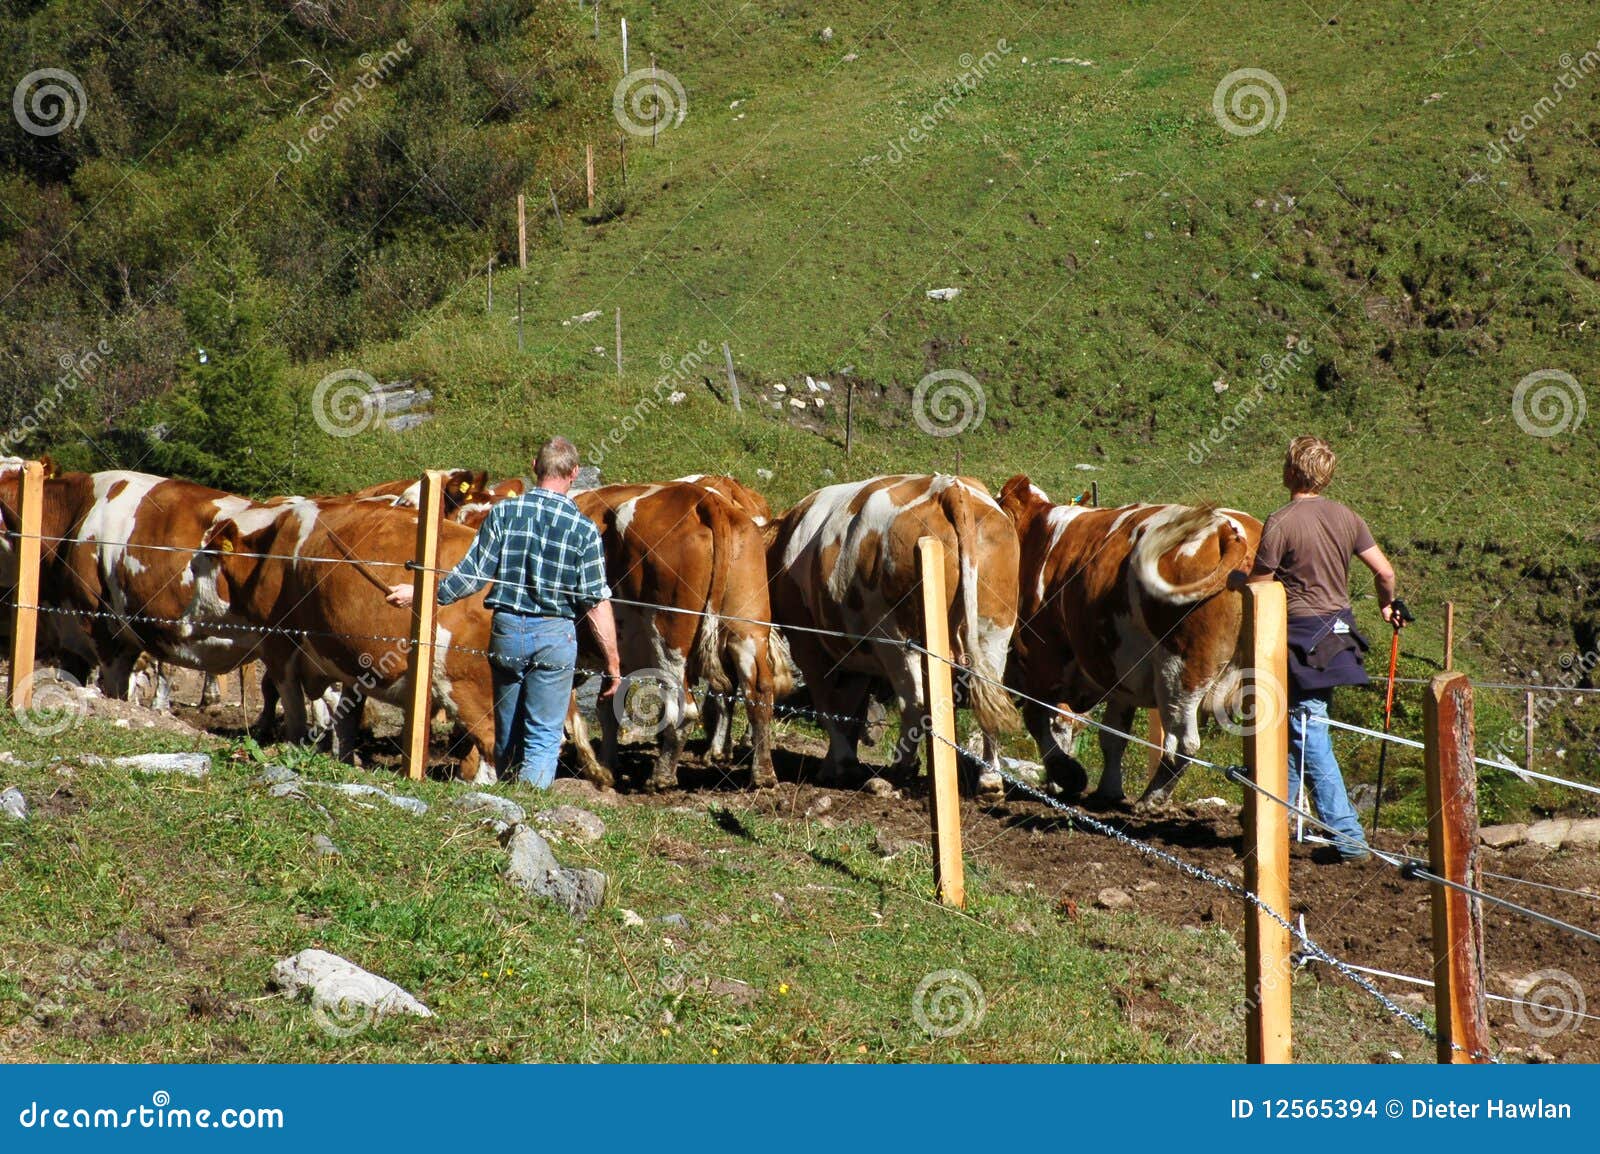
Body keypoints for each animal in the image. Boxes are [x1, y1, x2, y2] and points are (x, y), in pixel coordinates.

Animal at [191, 498, 499, 781]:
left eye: (197, 567)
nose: (187, 615)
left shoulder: (280, 644)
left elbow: (290, 705)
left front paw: (292, 746)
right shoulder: (351, 655)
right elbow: (346, 716)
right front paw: (346, 759)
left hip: (464, 683)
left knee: (490, 738)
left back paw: (477, 782)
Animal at [569, 481, 792, 791]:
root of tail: (701, 499)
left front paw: (594, 768)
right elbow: (607, 706)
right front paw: (607, 762)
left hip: (667, 634)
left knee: (684, 707)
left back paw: (661, 775)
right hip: (747, 629)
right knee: (758, 692)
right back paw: (762, 774)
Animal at [765, 474, 1020, 798]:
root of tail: (950, 488)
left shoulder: (807, 644)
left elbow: (829, 706)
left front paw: (841, 765)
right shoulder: (854, 657)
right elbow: (851, 708)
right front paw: (836, 763)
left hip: (897, 638)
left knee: (915, 702)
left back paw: (897, 773)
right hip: (994, 633)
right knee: (987, 700)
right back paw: (988, 780)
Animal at [997, 476, 1262, 808]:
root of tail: (1227, 529)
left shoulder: (1041, 661)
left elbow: (1041, 720)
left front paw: (1067, 774)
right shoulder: (1119, 671)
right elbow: (1113, 736)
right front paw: (1108, 790)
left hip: (1180, 668)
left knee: (1182, 741)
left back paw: (1153, 796)